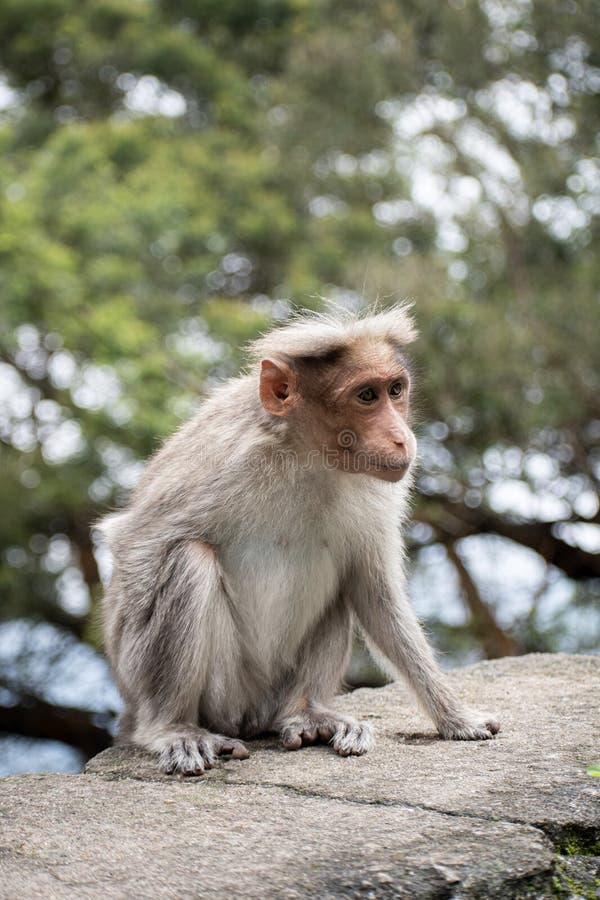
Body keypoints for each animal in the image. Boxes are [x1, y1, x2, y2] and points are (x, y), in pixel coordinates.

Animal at [98, 305, 499, 775]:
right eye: (367, 396)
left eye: (396, 390)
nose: (402, 438)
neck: (307, 454)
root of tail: (252, 714)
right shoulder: (221, 460)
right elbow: (136, 540)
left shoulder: (380, 491)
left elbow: (373, 589)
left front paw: (455, 717)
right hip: (224, 693)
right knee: (188, 558)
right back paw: (170, 725)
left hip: (274, 690)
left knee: (343, 582)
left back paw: (306, 714)